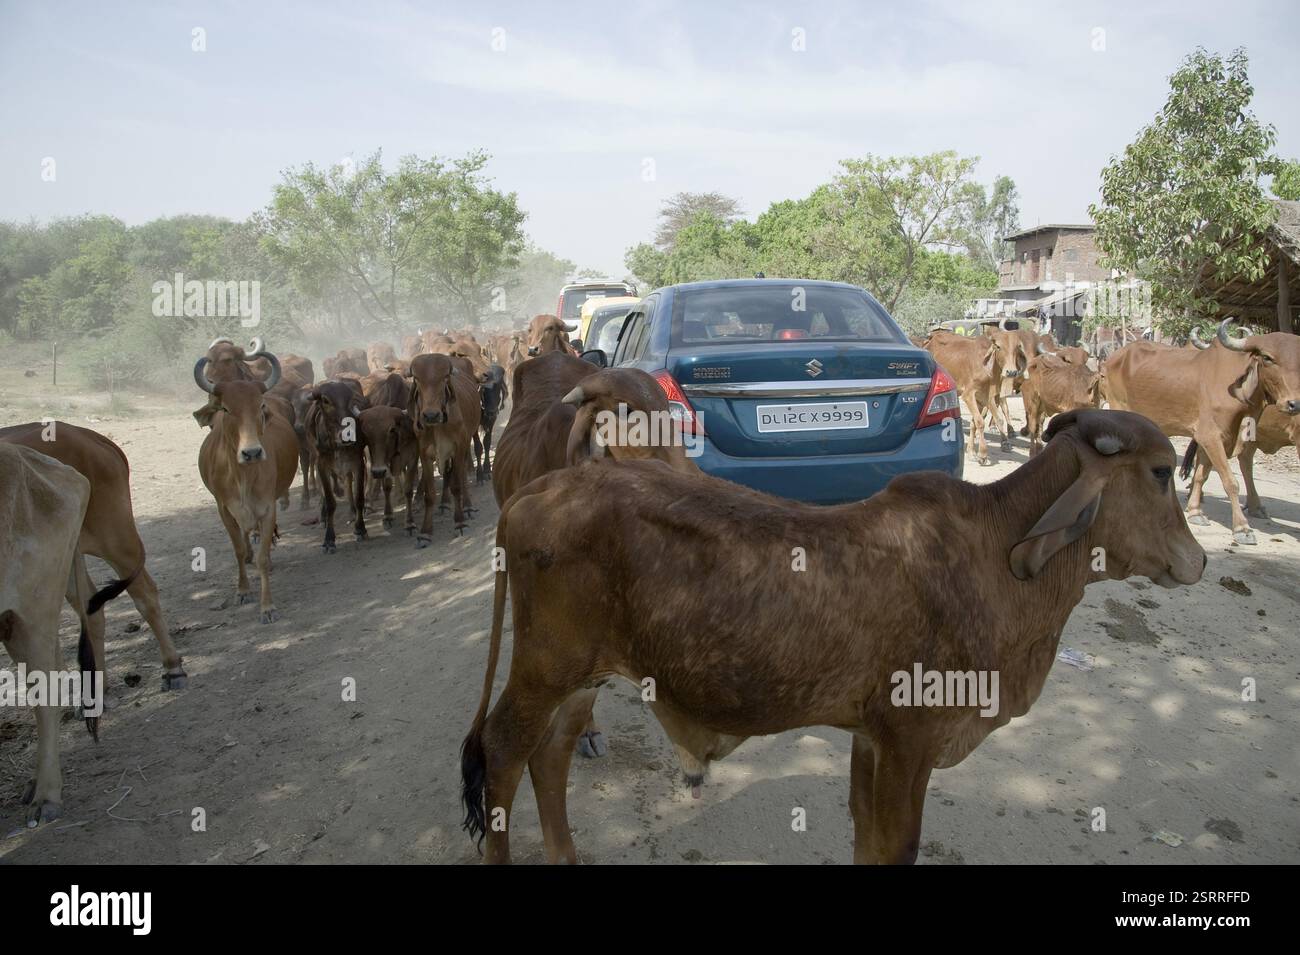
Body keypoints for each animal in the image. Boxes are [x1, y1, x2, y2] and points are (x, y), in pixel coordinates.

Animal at [194, 352, 298, 620]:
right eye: (226, 409)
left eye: (260, 406)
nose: (252, 453)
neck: (243, 477)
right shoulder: (224, 509)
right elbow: (238, 550)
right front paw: (242, 590)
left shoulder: (267, 507)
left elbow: (262, 557)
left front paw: (267, 606)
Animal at [407, 353, 479, 542]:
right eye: (417, 379)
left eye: (445, 377)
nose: (431, 415)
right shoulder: (425, 454)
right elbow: (430, 495)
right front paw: (425, 531)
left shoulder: (459, 447)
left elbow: (456, 486)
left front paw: (459, 522)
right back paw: (444, 504)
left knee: (461, 476)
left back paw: (468, 506)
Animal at [459, 409, 1206, 864]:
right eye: (1161, 472)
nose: (1198, 559)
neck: (995, 553)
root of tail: (540, 492)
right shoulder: (910, 739)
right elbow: (896, 844)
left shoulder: (870, 739)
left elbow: (866, 837)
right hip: (545, 668)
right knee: (503, 752)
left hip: (582, 676)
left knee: (550, 753)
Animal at [924, 330, 1011, 465]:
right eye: (998, 346)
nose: (1010, 371)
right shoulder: (969, 395)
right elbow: (980, 422)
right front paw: (982, 455)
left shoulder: (985, 398)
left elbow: (977, 422)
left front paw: (972, 453)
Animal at [1104, 317, 1300, 543]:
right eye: (1267, 358)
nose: (1294, 404)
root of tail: (1116, 355)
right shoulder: (1211, 436)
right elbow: (1230, 481)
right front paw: (1242, 528)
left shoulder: (1210, 438)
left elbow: (1201, 475)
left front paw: (1195, 512)